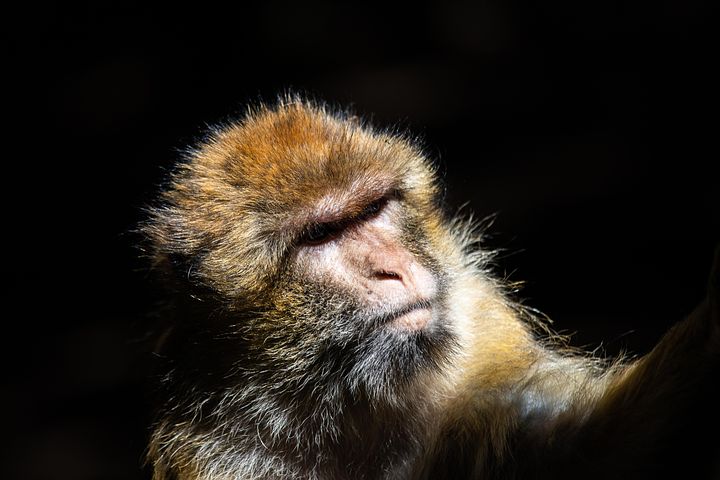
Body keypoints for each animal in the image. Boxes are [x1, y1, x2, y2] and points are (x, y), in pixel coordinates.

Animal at [141, 96, 719, 480]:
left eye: (374, 209)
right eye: (321, 234)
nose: (393, 268)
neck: (351, 405)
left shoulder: (481, 343)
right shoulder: (217, 453)